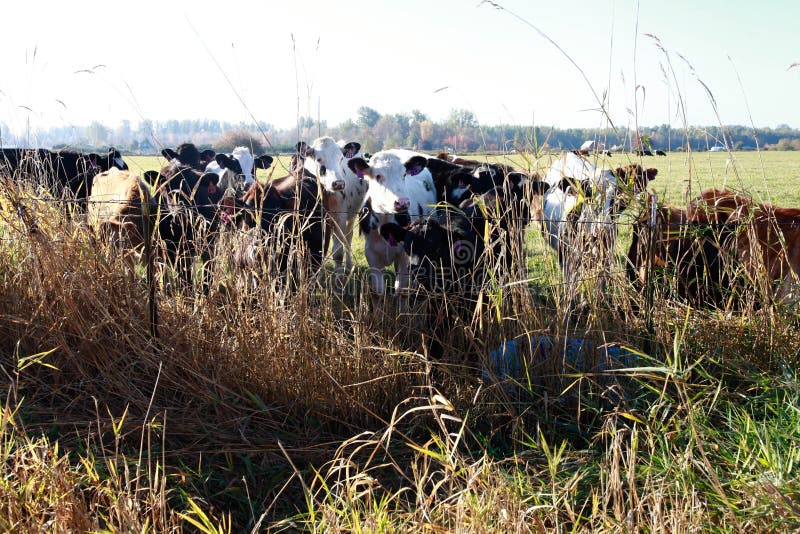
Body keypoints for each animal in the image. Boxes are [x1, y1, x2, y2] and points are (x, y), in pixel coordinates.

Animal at [297, 137, 368, 281]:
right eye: (319, 159)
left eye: (341, 159)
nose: (338, 183)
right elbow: (320, 249)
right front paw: (318, 276)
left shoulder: (339, 219)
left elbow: (338, 252)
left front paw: (339, 277)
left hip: (351, 216)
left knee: (347, 239)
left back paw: (348, 266)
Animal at [347, 151, 434, 304]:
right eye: (378, 176)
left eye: (404, 174)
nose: (402, 202)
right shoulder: (371, 254)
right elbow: (378, 292)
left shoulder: (405, 255)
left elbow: (402, 291)